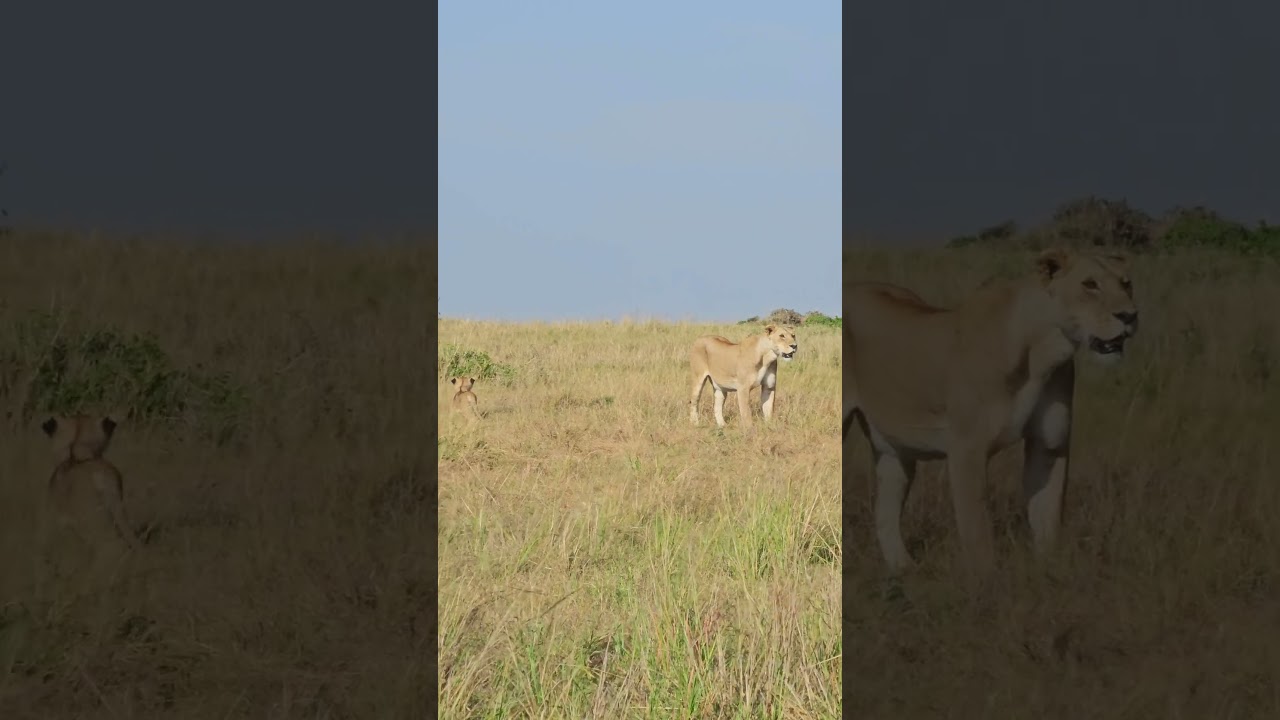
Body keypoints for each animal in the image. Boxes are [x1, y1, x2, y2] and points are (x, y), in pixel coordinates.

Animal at [843, 248, 1139, 581]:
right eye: (1090, 284)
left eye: (1126, 283)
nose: (1129, 316)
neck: (1043, 350)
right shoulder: (966, 447)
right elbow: (978, 528)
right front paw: (986, 583)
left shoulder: (1049, 444)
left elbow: (1048, 515)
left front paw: (1051, 572)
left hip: (894, 450)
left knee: (885, 513)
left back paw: (903, 571)